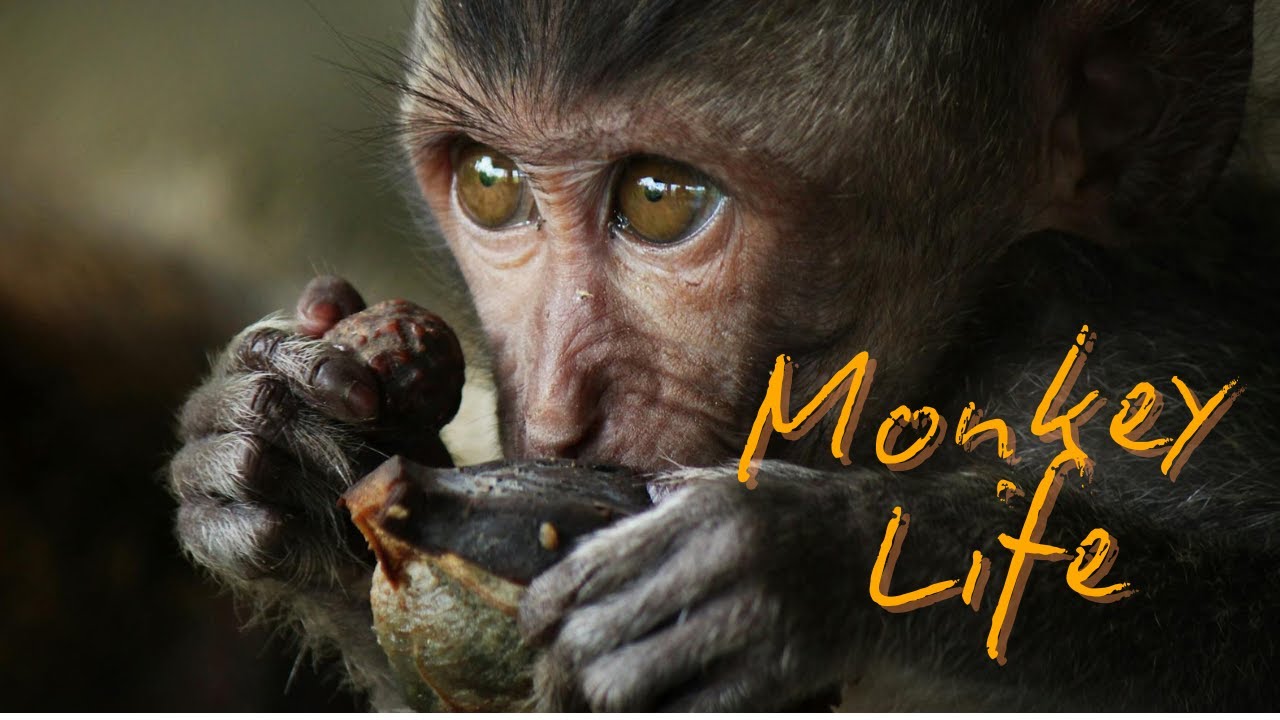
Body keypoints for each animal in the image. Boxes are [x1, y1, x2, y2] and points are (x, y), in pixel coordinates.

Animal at [169, 0, 1280, 711]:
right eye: (490, 181)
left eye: (661, 199)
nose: (560, 410)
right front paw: (281, 443)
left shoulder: (1129, 355)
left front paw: (800, 564)